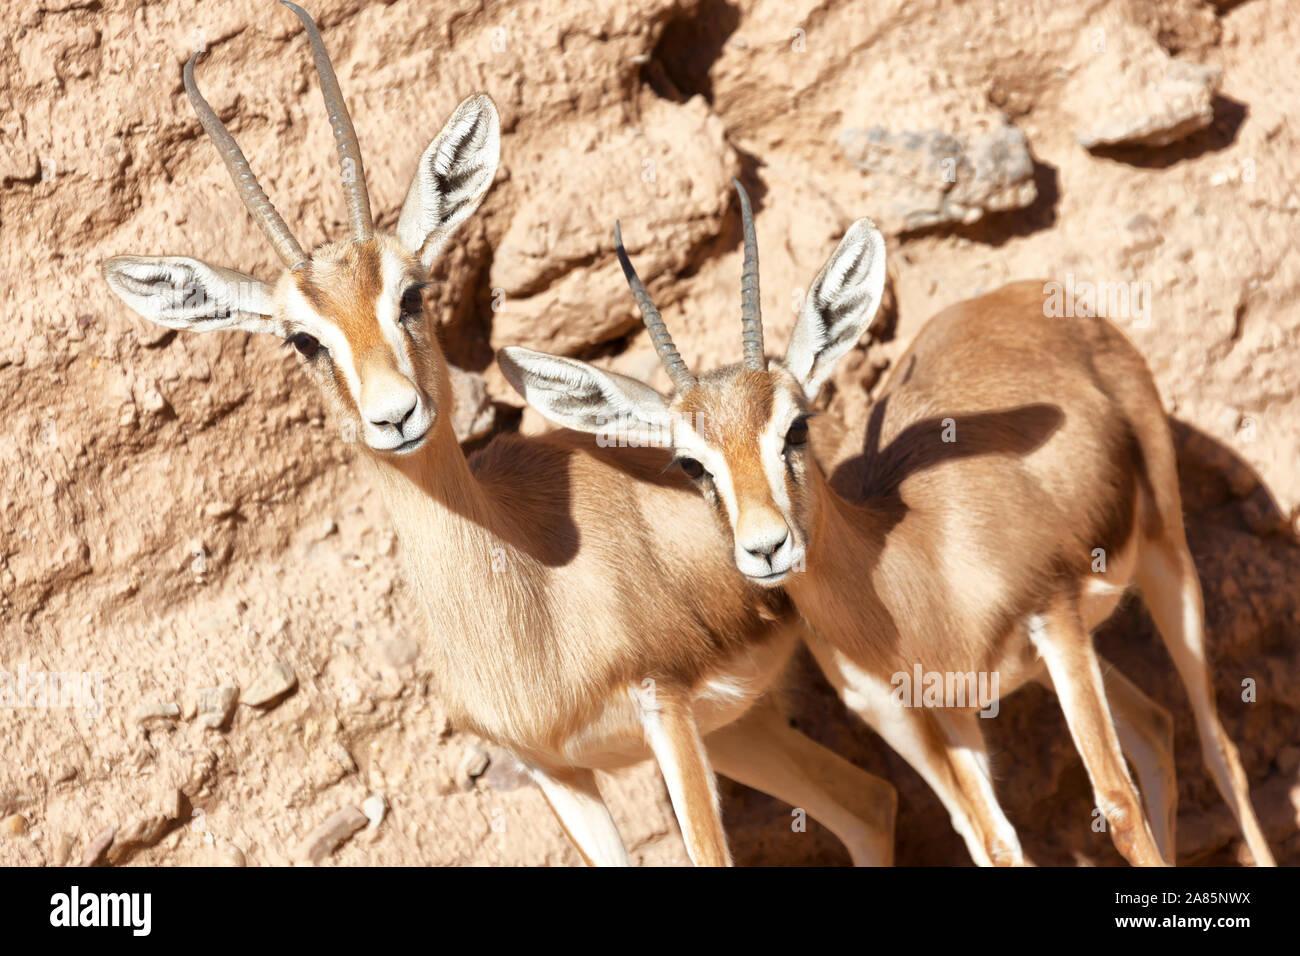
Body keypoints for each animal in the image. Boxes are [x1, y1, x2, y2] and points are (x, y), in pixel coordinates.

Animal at [101, 4, 900, 866]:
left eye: (411, 294)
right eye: (303, 340)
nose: (396, 415)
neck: (530, 602)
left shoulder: (667, 714)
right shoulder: (558, 768)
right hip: (741, 730)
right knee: (869, 803)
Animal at [500, 180, 1277, 866]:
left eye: (796, 427)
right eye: (689, 465)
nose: (766, 548)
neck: (921, 566)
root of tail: (1027, 297)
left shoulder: (1054, 619)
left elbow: (1115, 805)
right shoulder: (929, 710)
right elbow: (994, 841)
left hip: (1163, 555)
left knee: (1218, 749)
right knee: (1154, 728)